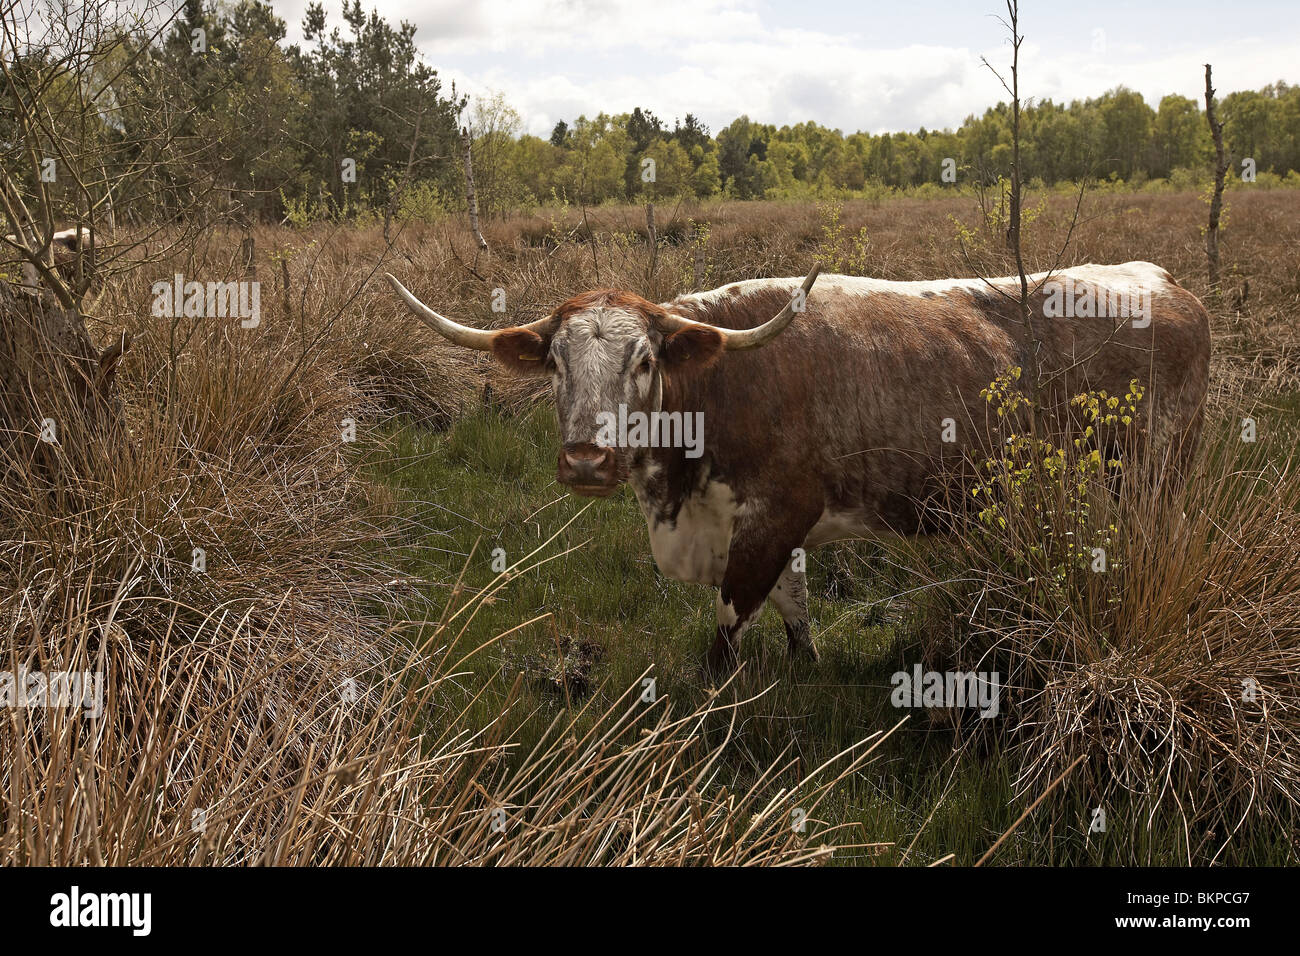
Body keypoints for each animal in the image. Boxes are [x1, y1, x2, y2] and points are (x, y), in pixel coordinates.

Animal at [387, 261, 1210, 673]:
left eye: (644, 359)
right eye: (555, 363)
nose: (587, 460)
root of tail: (1166, 284)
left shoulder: (774, 515)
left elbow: (728, 626)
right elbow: (795, 608)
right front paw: (806, 667)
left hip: (1155, 477)